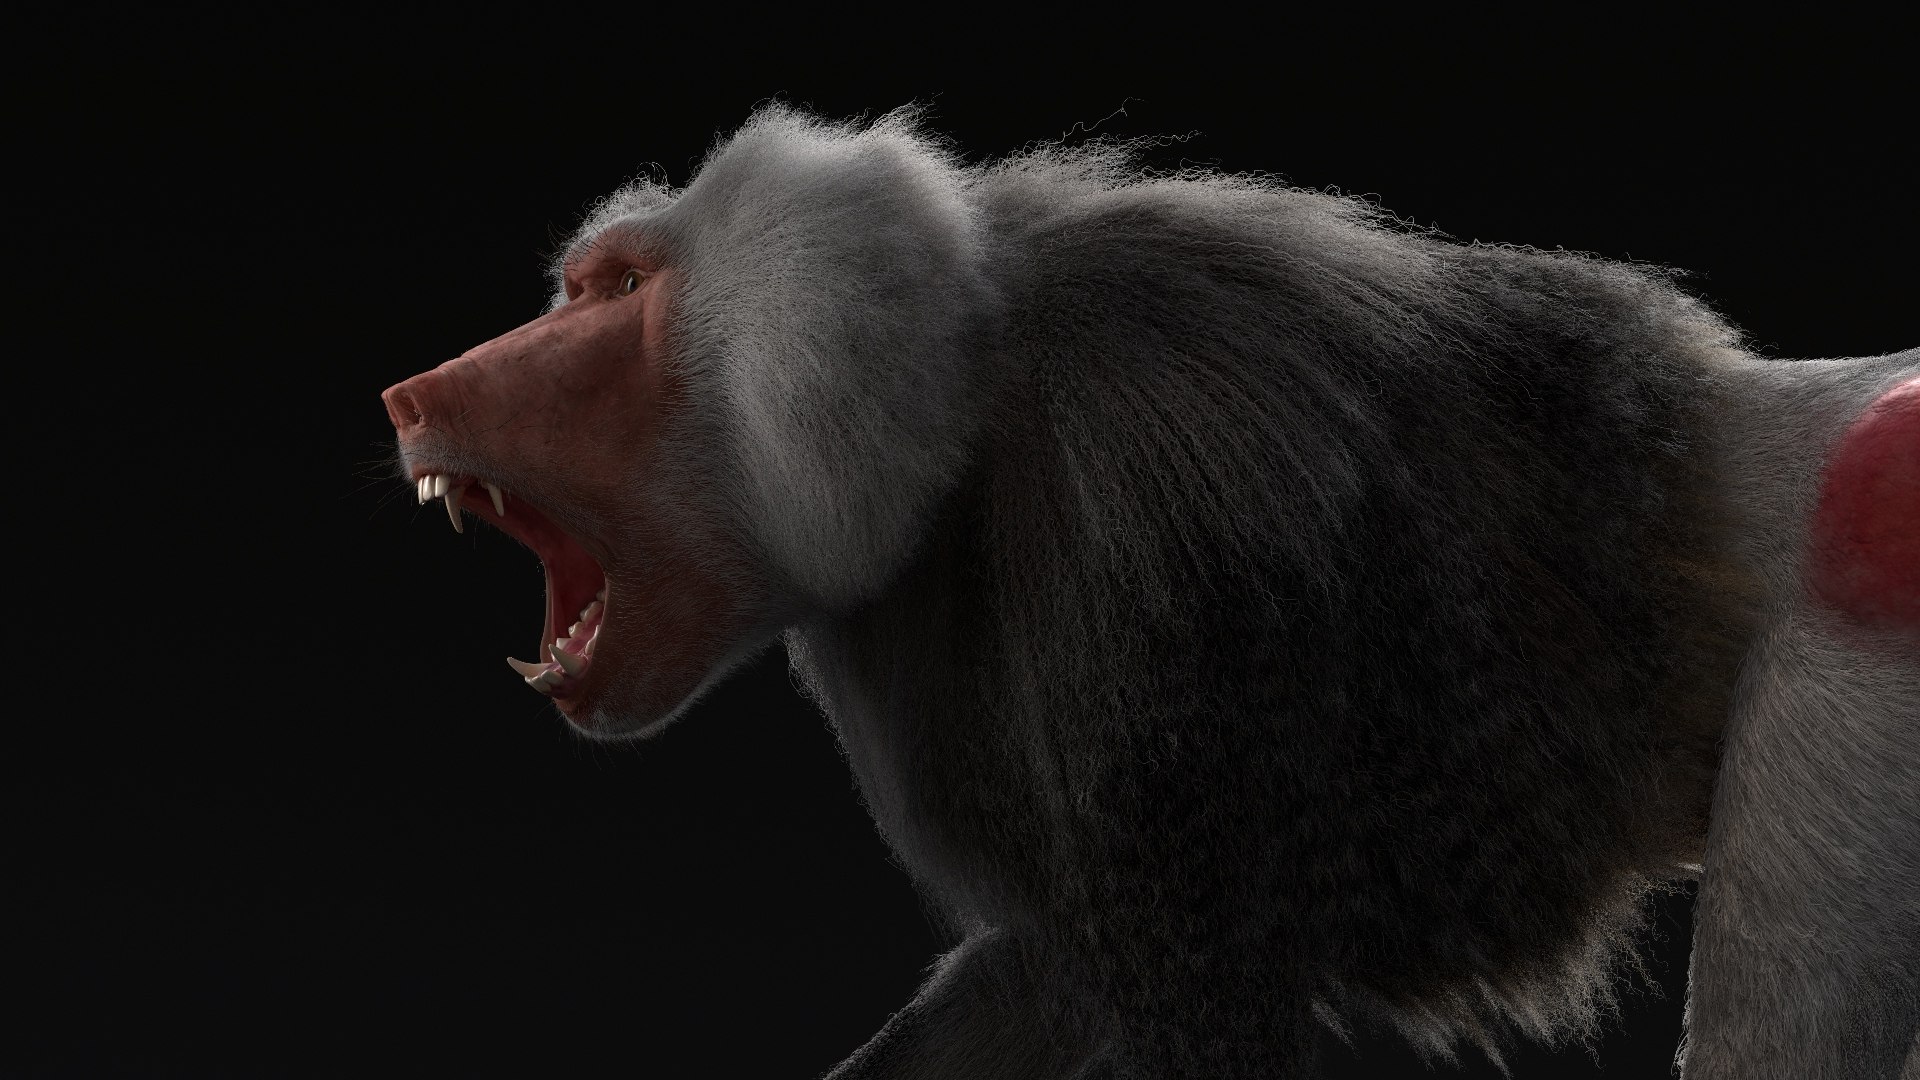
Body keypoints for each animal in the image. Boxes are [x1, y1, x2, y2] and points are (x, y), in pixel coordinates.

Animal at [381, 106, 1919, 1079]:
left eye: (616, 293)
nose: (412, 394)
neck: (976, 381)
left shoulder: (1146, 518)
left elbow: (1202, 1016)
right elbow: (1052, 973)